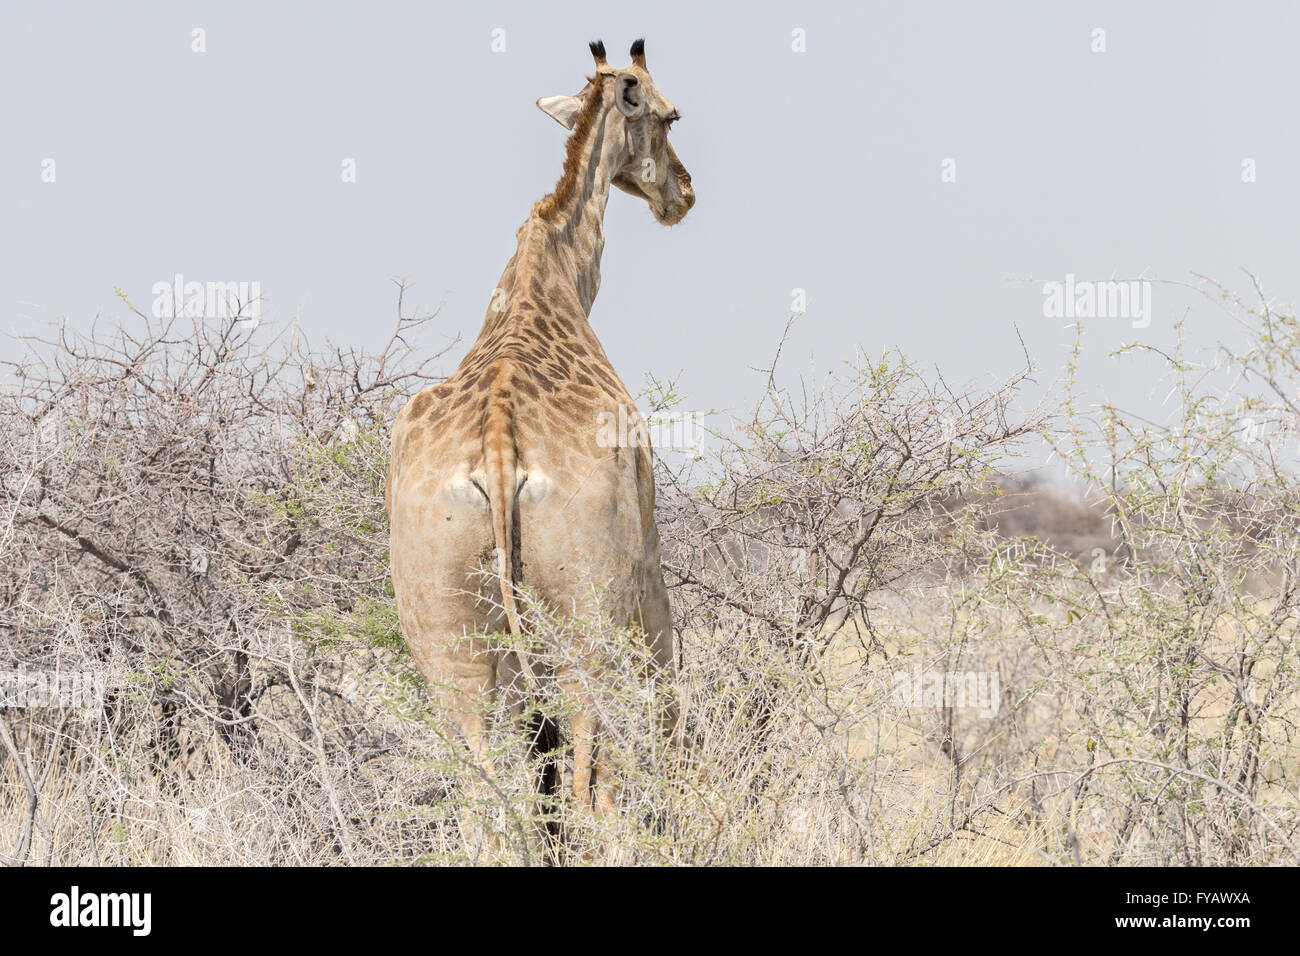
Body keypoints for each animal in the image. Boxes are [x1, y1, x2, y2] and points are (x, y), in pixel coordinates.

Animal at [385, 38, 694, 854]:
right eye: (668, 114)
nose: (682, 193)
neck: (555, 274)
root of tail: (499, 449)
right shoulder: (647, 564)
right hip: (584, 624)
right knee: (589, 786)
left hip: (447, 644)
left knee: (481, 803)